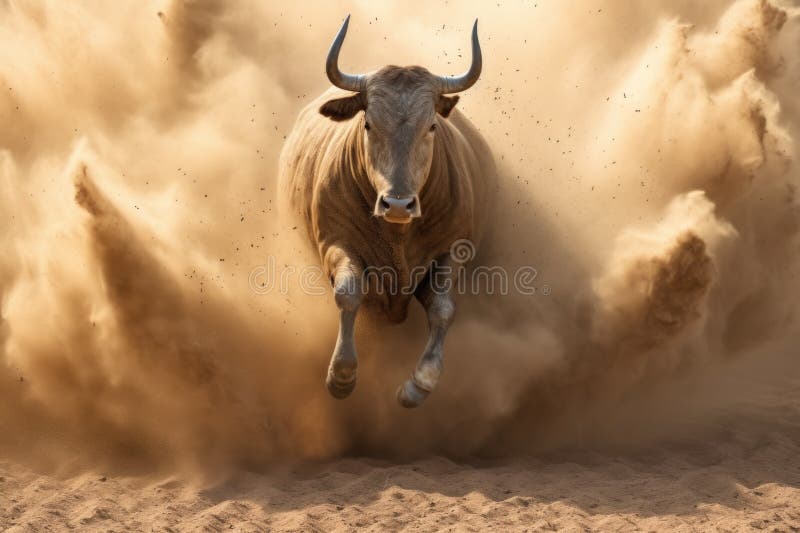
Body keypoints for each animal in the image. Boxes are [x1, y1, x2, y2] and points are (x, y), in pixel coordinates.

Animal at [278, 15, 496, 407]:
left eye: (431, 126)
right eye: (368, 124)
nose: (397, 203)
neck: (398, 235)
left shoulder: (453, 249)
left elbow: (443, 309)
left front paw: (419, 383)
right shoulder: (335, 241)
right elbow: (348, 293)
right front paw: (342, 375)